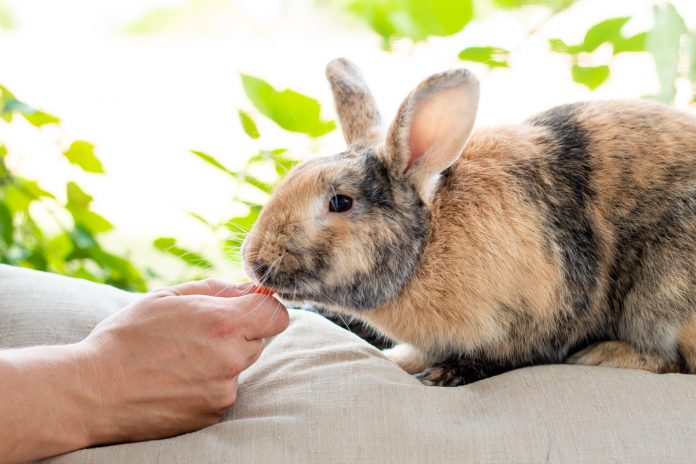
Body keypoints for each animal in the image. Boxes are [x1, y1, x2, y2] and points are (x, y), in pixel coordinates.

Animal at [241, 57, 696, 386]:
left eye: (340, 202)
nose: (252, 260)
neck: (427, 244)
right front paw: (403, 361)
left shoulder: (530, 323)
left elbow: (506, 357)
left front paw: (444, 374)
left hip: (661, 290)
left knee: (672, 362)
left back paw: (597, 355)